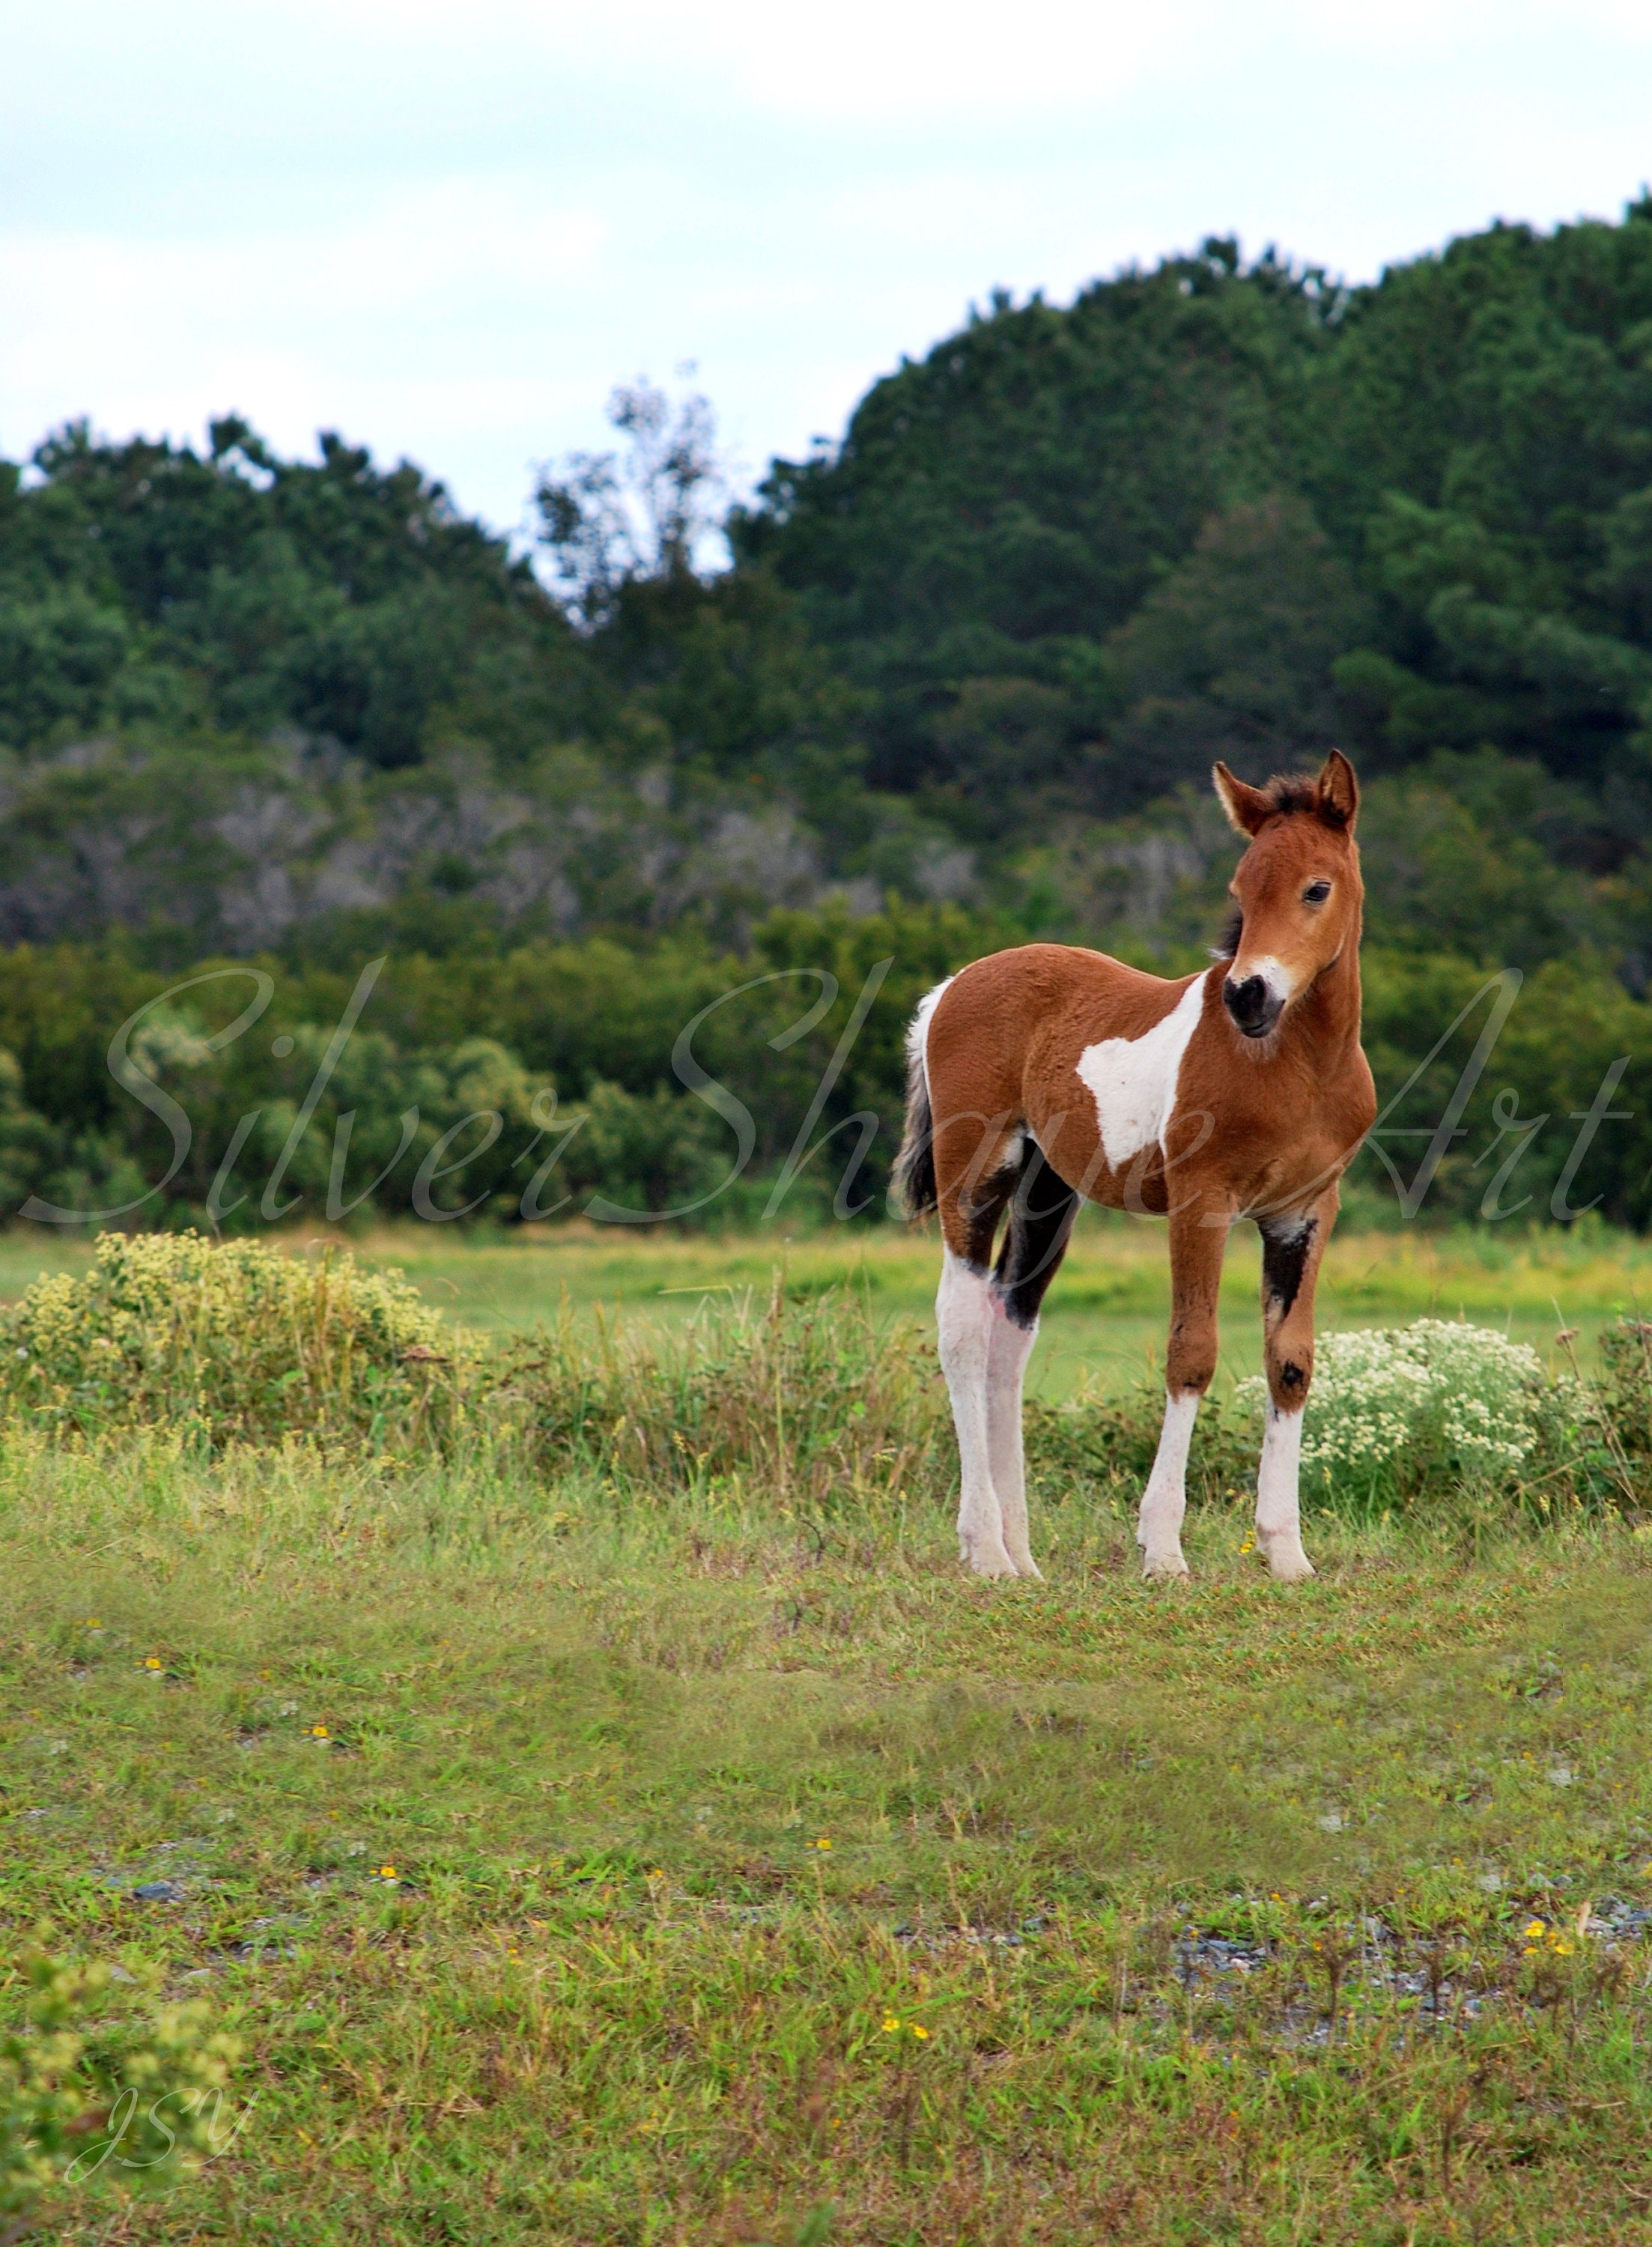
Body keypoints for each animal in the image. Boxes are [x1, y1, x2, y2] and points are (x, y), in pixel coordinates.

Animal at [893, 749, 1376, 1585]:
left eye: (1316, 888)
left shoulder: (1305, 1212)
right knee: (960, 1328)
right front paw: (1162, 1550)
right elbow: (1192, 1353)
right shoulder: (1201, 1200)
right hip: (976, 1174)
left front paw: (1287, 1552)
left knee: (1009, 1334)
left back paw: (1024, 1556)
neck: (1296, 1065)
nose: (1247, 996)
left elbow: (1290, 1362)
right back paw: (984, 1549)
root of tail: (948, 990)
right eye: (1240, 891)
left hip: (1048, 1193)